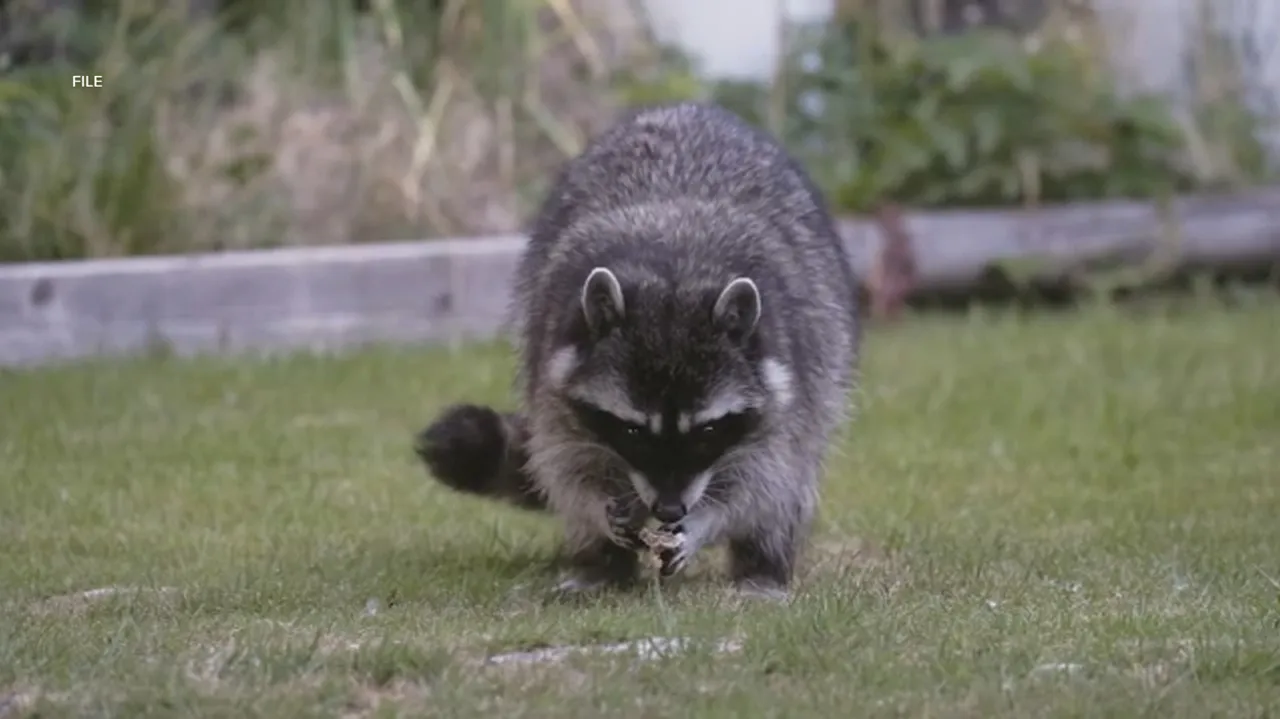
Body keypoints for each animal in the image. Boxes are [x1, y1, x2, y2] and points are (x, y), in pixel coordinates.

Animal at [415, 102, 861, 599]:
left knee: (789, 487)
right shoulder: (550, 360)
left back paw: (762, 566)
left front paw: (708, 521)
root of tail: (687, 109)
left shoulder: (788, 378)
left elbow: (763, 479)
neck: (673, 275)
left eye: (708, 431)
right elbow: (567, 463)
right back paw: (599, 565)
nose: (668, 511)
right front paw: (600, 514)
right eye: (632, 431)